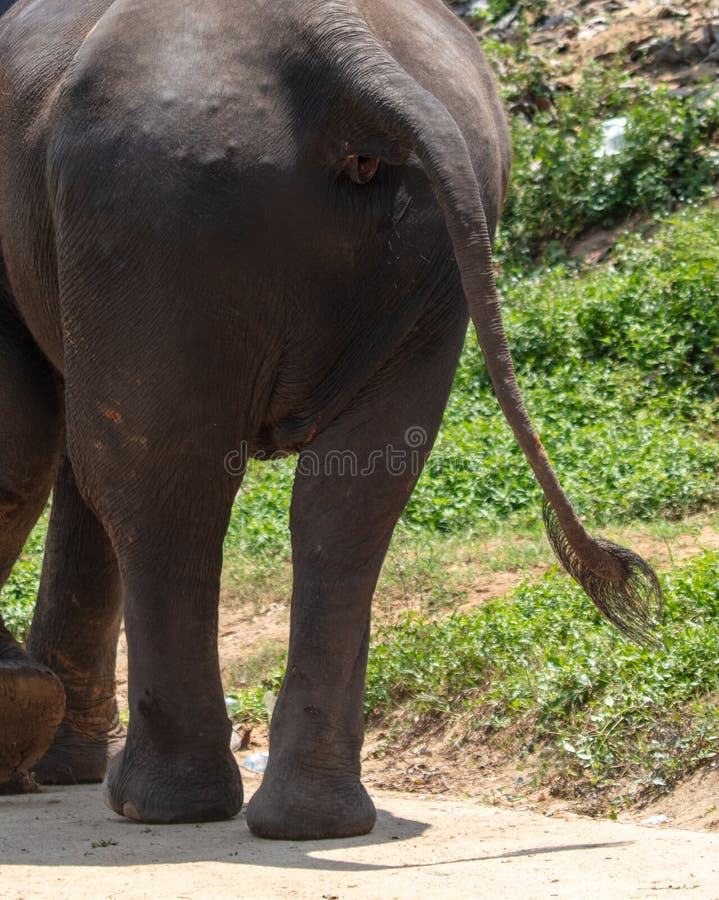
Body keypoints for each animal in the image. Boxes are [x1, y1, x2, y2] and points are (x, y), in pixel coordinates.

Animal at [0, 0, 661, 839]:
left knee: (155, 484)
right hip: (424, 237)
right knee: (348, 499)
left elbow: (27, 427)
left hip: (158, 206)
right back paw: (309, 820)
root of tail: (338, 45)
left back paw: (159, 806)